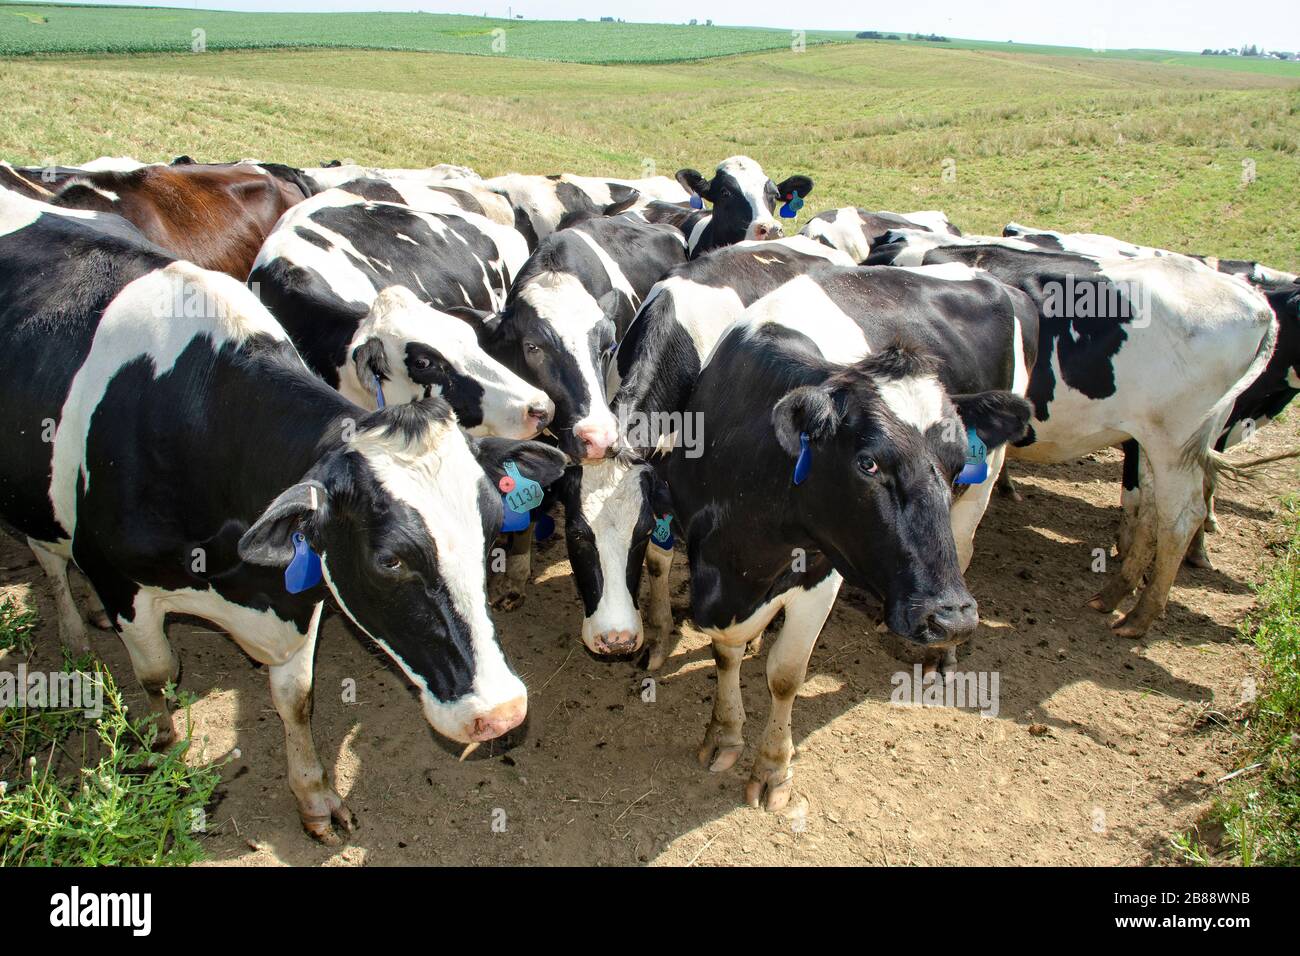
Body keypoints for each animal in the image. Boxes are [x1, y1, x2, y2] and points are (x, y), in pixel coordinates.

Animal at [667, 267, 1032, 809]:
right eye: (868, 463)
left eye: (955, 463)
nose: (950, 618)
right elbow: (725, 651)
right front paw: (725, 734)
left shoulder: (822, 571)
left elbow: (786, 674)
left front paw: (773, 768)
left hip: (986, 484)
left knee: (964, 548)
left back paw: (941, 655)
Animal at [866, 234, 1278, 636]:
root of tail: (1253, 302)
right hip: (1161, 440)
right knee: (1152, 511)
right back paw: (1114, 593)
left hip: (1176, 440)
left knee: (1181, 517)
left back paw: (1140, 616)